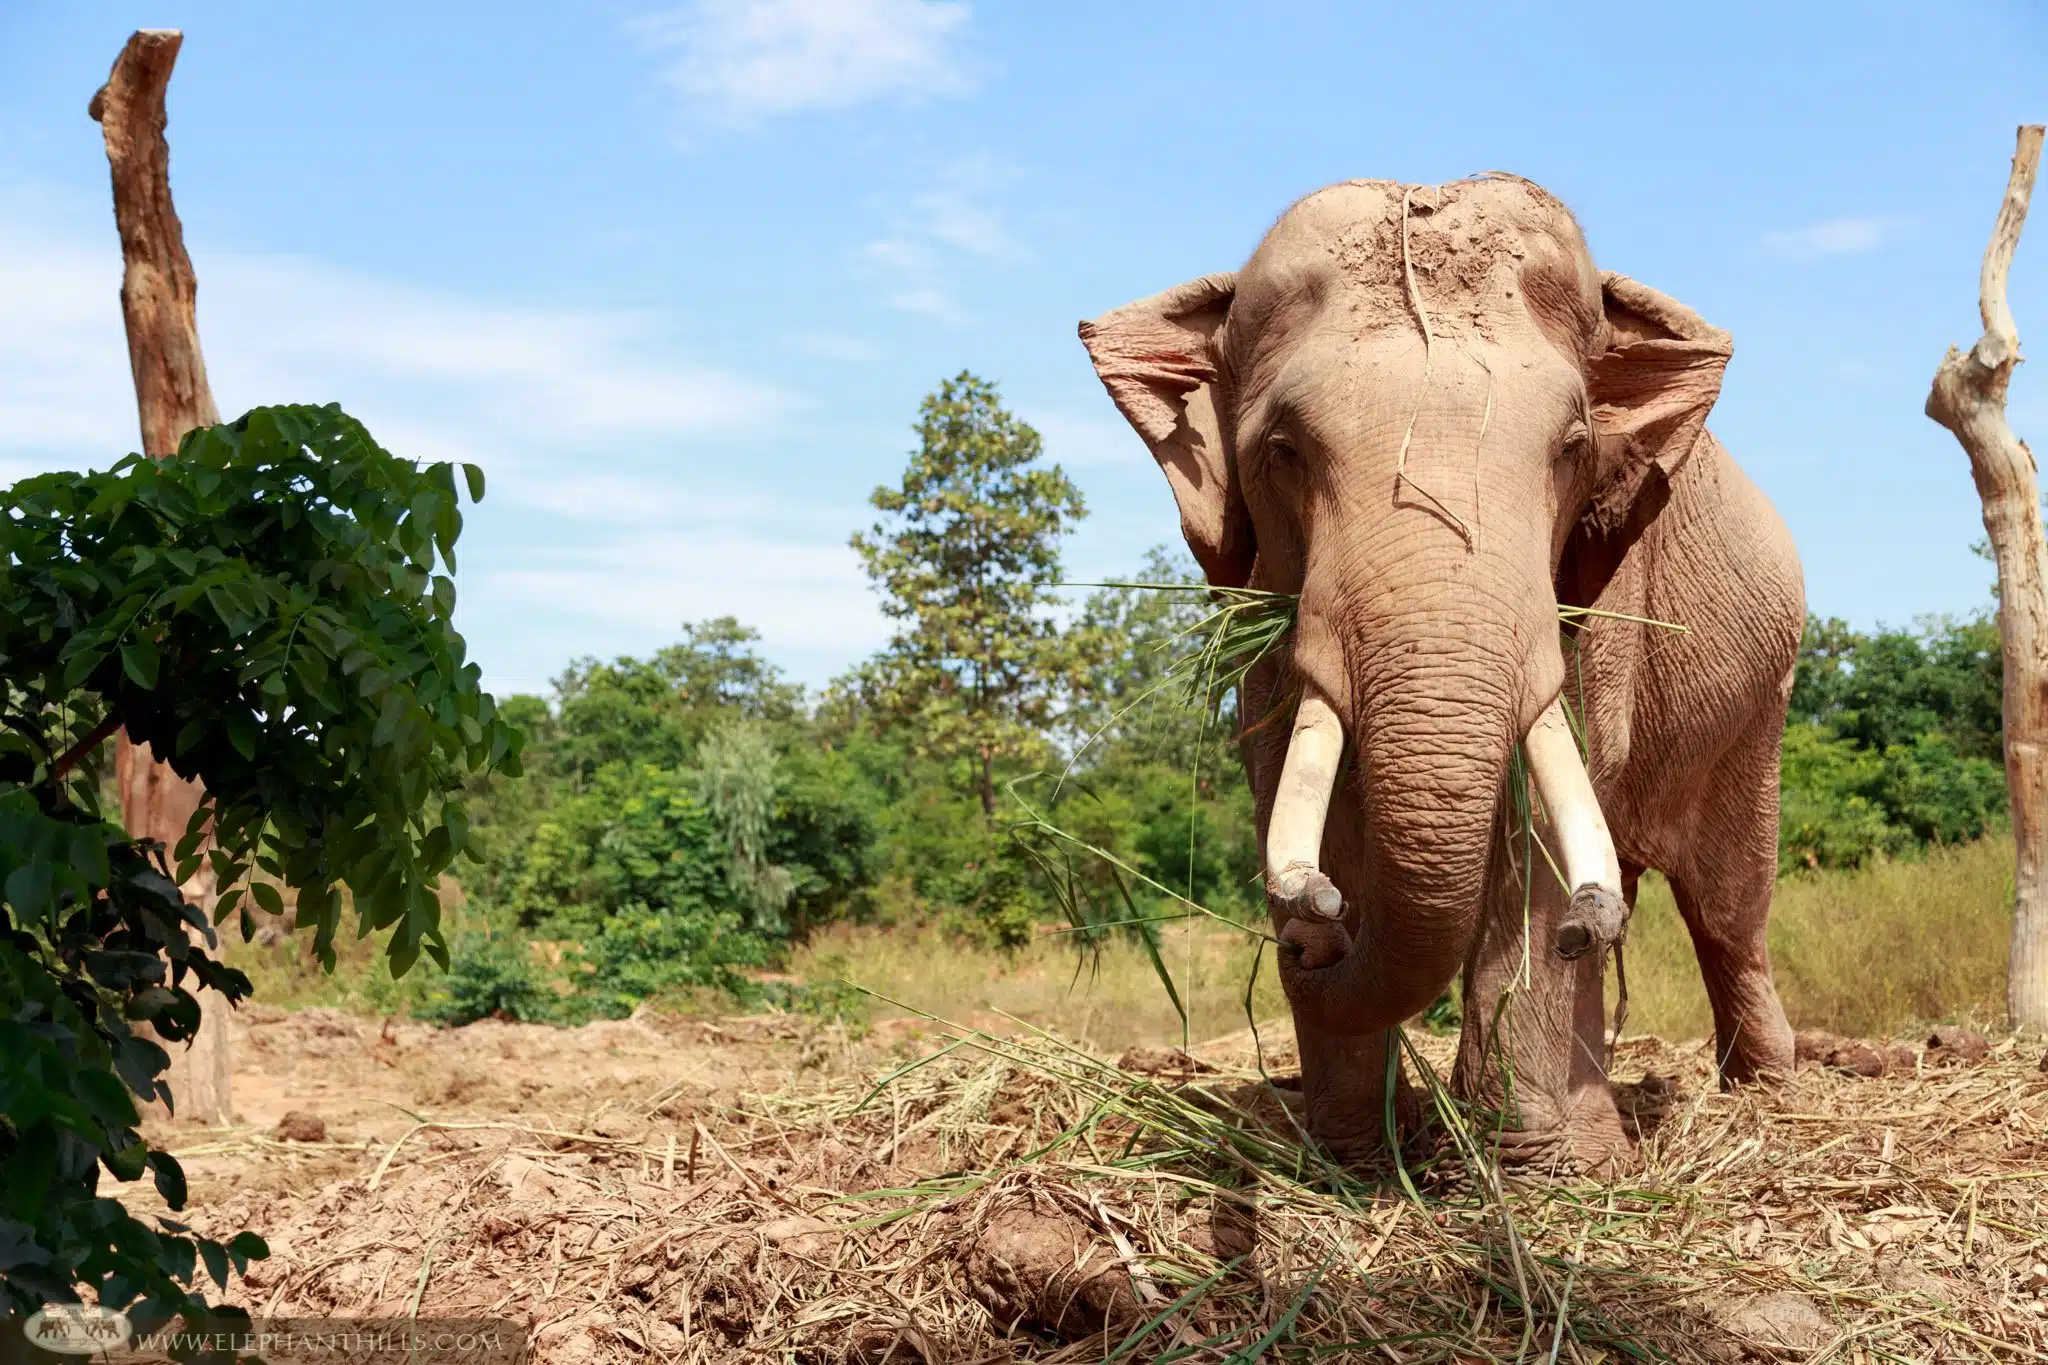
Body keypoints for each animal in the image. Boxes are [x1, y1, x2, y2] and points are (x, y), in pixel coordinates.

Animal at [1078, 175, 1803, 1173]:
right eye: (1283, 450)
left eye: (1573, 446)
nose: (1307, 933)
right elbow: (1289, 777)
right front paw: (1352, 1156)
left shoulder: (1591, 595)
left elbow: (1540, 829)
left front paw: (1539, 1166)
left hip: (1759, 710)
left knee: (1729, 907)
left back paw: (1763, 1094)